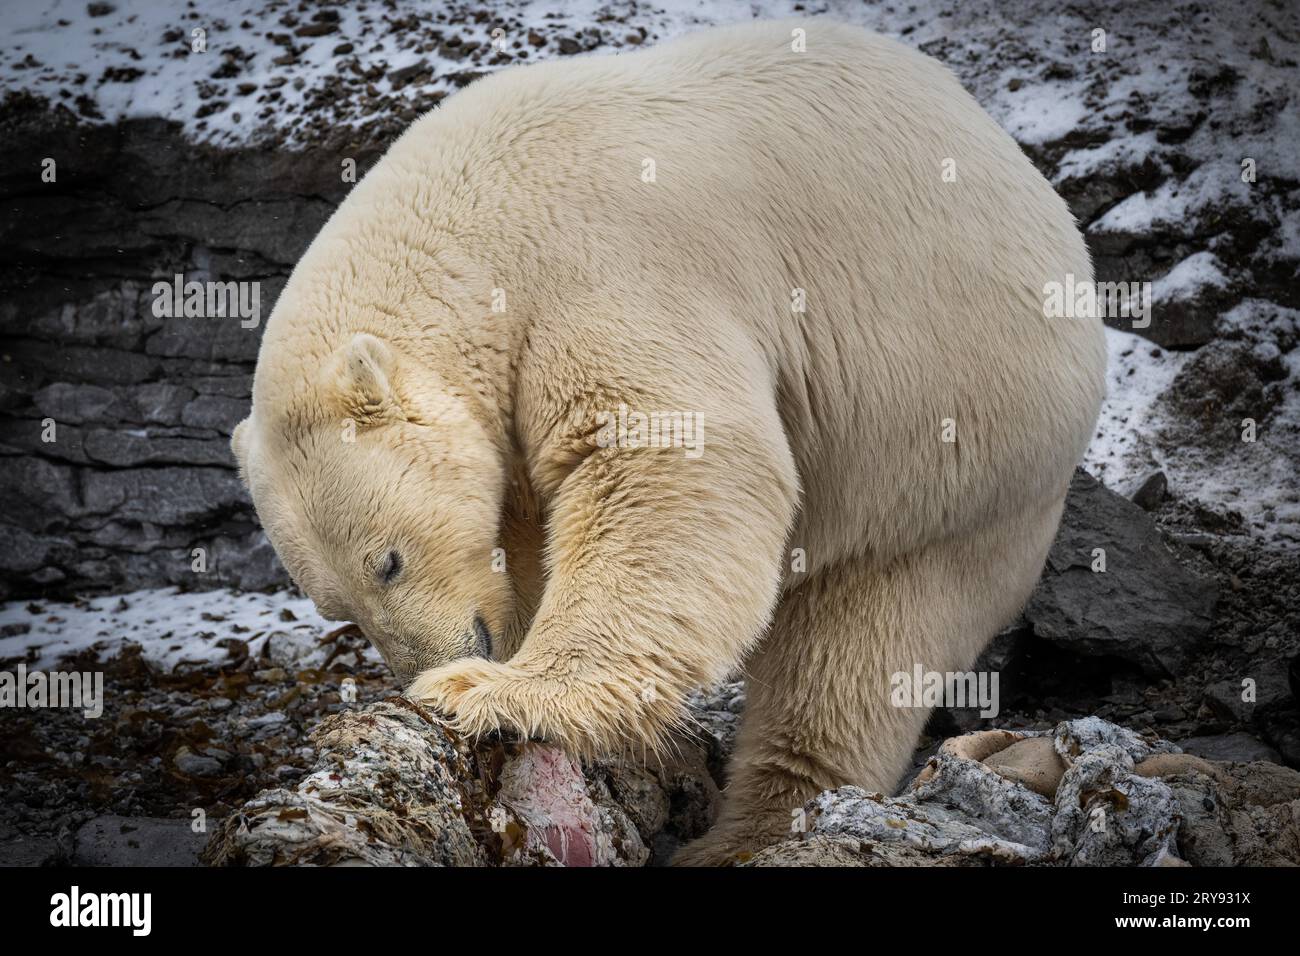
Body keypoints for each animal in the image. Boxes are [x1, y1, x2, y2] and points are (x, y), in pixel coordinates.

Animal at [232, 19, 1106, 865]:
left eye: (388, 560)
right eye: (336, 606)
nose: (424, 667)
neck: (471, 219)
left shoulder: (599, 262)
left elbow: (667, 454)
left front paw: (492, 691)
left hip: (949, 446)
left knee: (855, 648)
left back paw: (750, 831)